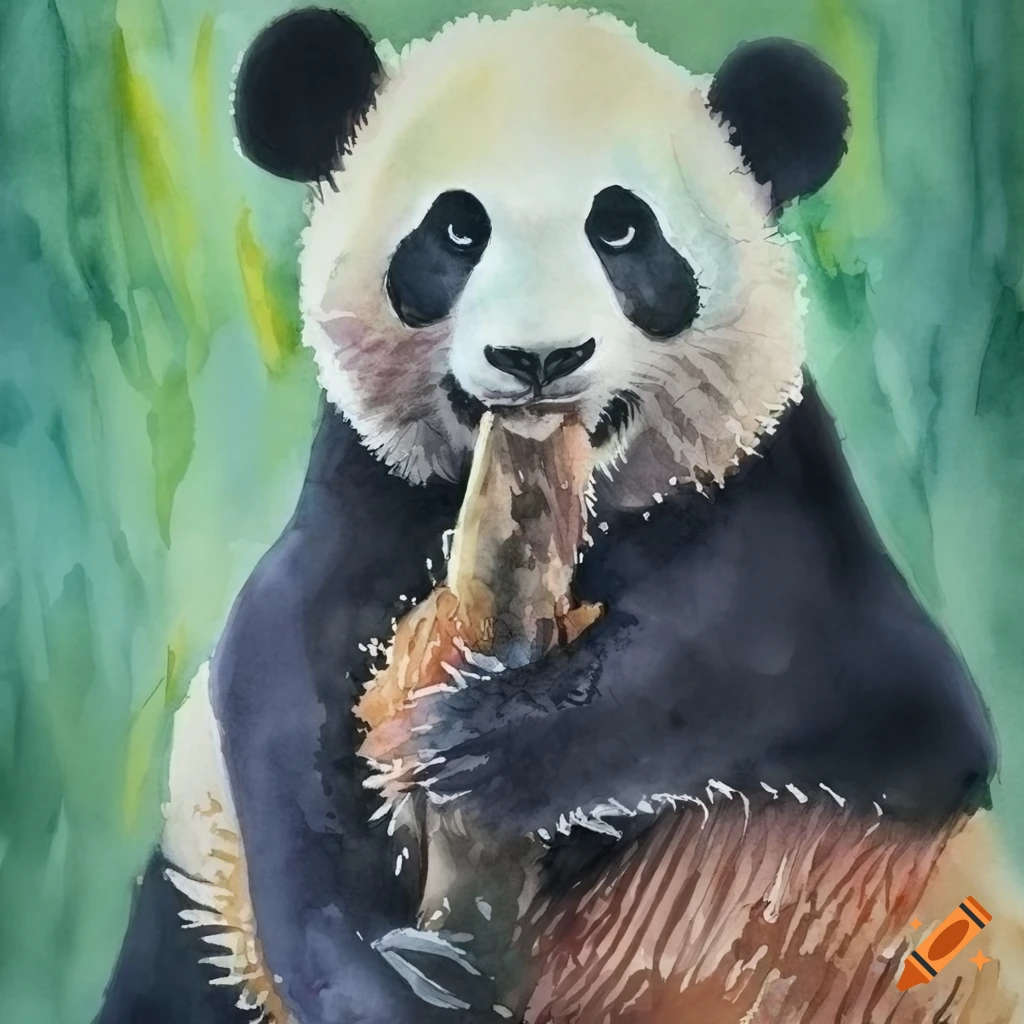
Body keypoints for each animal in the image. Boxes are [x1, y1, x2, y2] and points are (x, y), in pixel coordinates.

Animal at [96, 7, 998, 1024]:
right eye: (456, 229)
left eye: (622, 228)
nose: (538, 358)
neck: (595, 508)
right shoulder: (370, 506)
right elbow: (280, 690)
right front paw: (384, 974)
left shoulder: (774, 499)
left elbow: (822, 671)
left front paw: (487, 744)